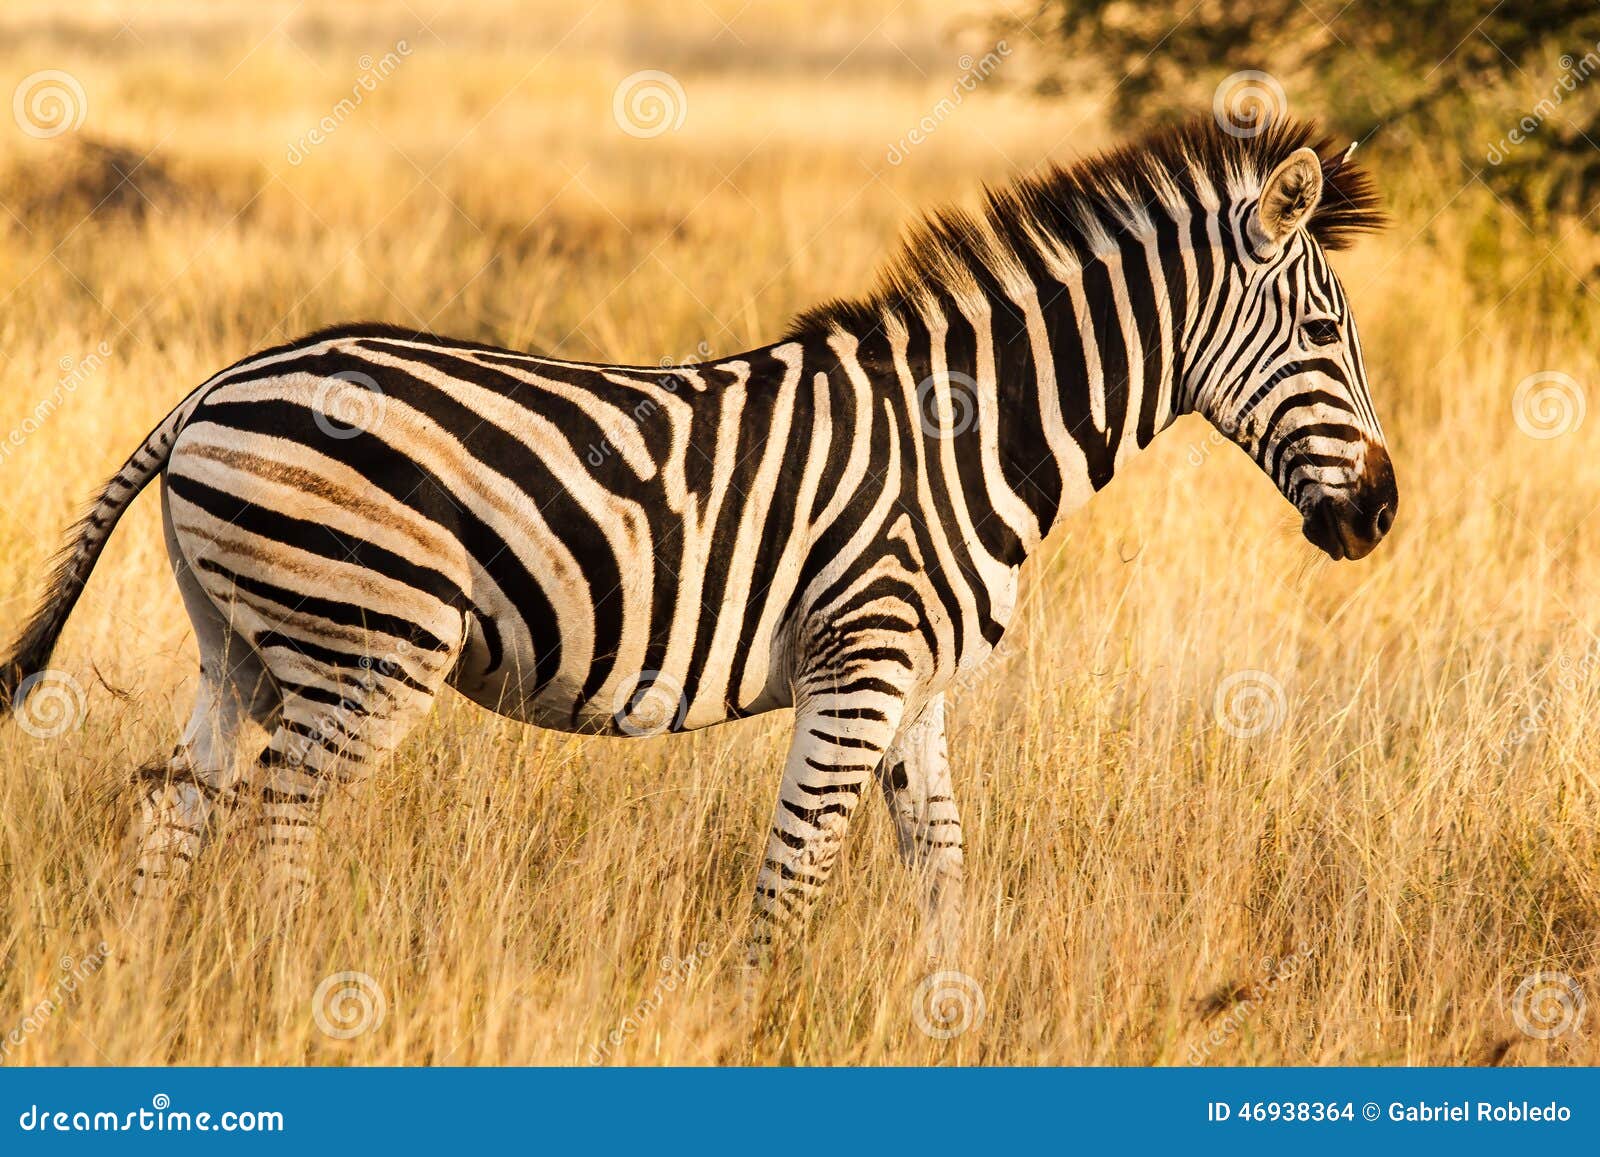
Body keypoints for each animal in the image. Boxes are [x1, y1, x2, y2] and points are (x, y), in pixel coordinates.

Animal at [0, 116, 1393, 964]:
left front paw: (953, 1016)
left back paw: (148, 985)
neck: (968, 439)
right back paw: (298, 984)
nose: (1380, 516)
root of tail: (212, 388)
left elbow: (940, 868)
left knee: (180, 804)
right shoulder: (860, 669)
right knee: (279, 805)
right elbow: (794, 873)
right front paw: (756, 1021)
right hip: (370, 640)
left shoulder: (918, 688)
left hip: (238, 638)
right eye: (1327, 336)